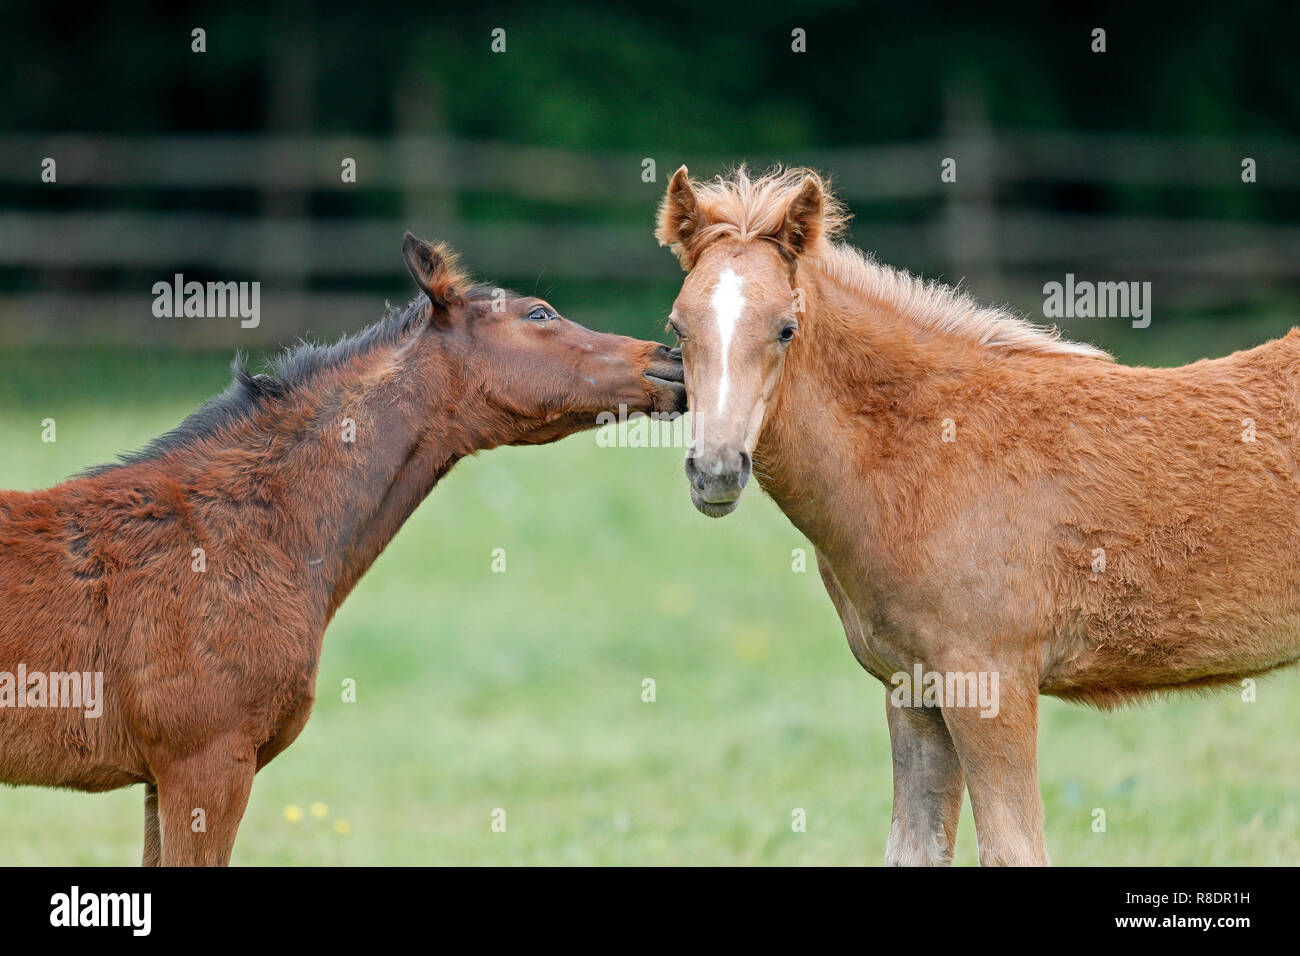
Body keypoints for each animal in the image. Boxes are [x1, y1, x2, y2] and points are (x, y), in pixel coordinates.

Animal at [656, 165, 1300, 866]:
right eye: (678, 327)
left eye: (785, 328)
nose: (716, 469)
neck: (932, 454)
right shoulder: (912, 690)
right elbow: (915, 849)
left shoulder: (991, 683)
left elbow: (1014, 848)